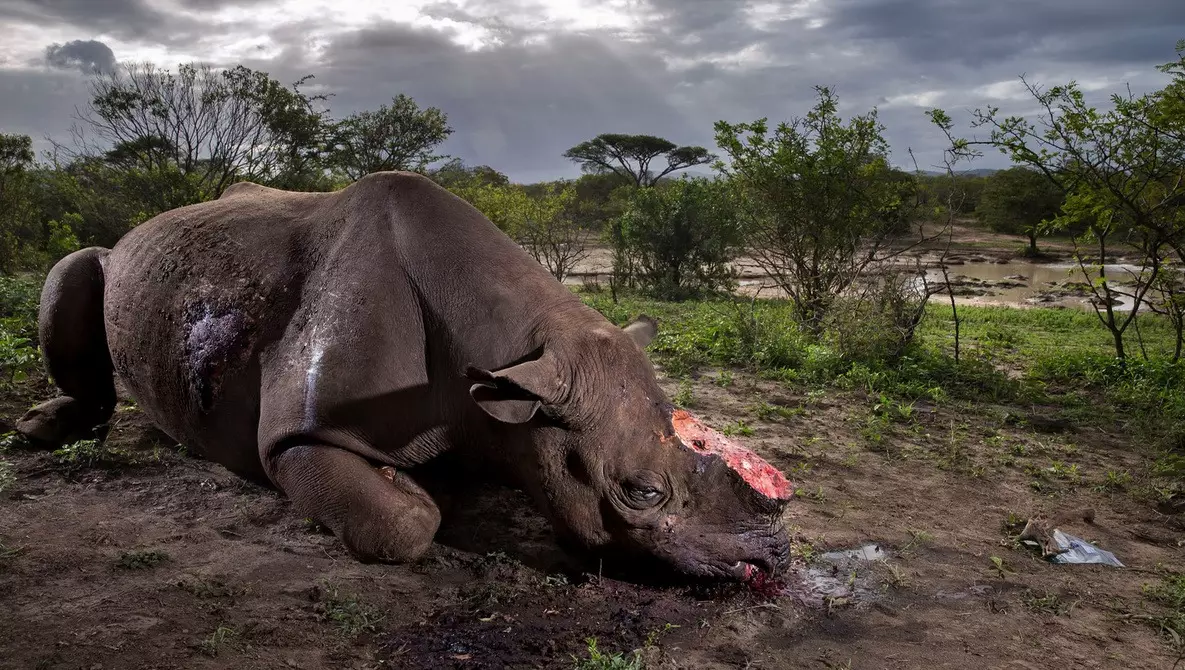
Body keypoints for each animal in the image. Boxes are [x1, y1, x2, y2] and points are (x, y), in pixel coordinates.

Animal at [13, 168, 791, 581]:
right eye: (641, 493)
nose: (770, 563)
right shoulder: (299, 435)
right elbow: (403, 524)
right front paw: (415, 490)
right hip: (118, 261)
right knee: (77, 266)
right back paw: (41, 430)